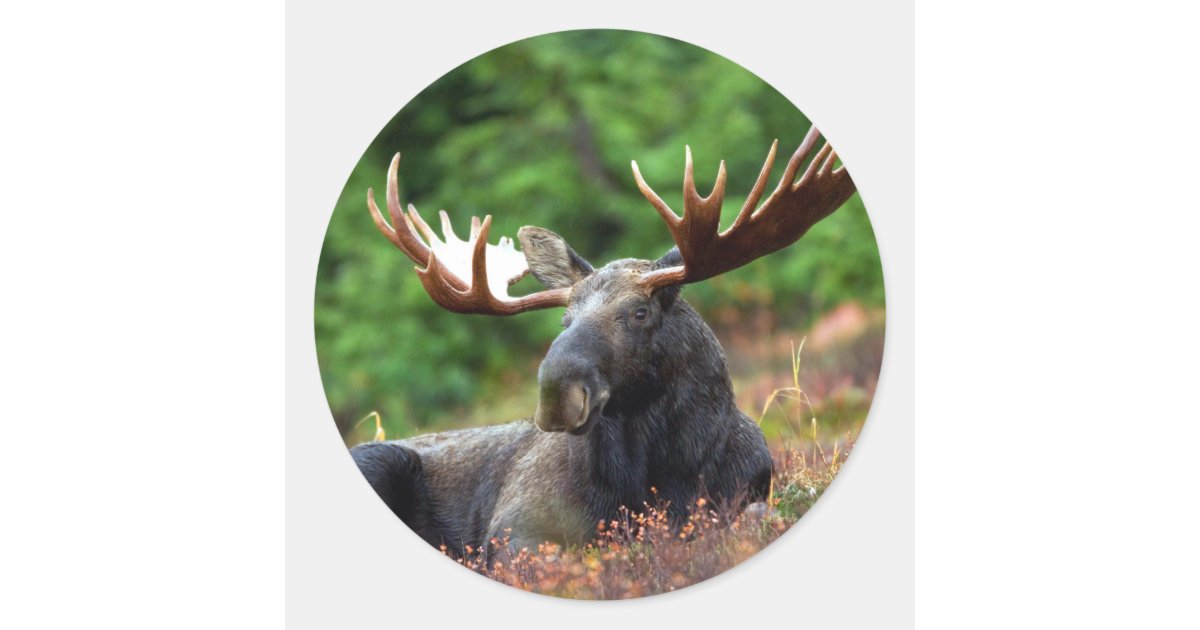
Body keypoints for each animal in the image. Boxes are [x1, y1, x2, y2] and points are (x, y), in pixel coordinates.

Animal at [350, 125, 857, 559]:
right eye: (565, 319)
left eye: (640, 312)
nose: (556, 395)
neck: (662, 477)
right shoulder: (515, 526)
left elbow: (756, 515)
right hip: (379, 457)